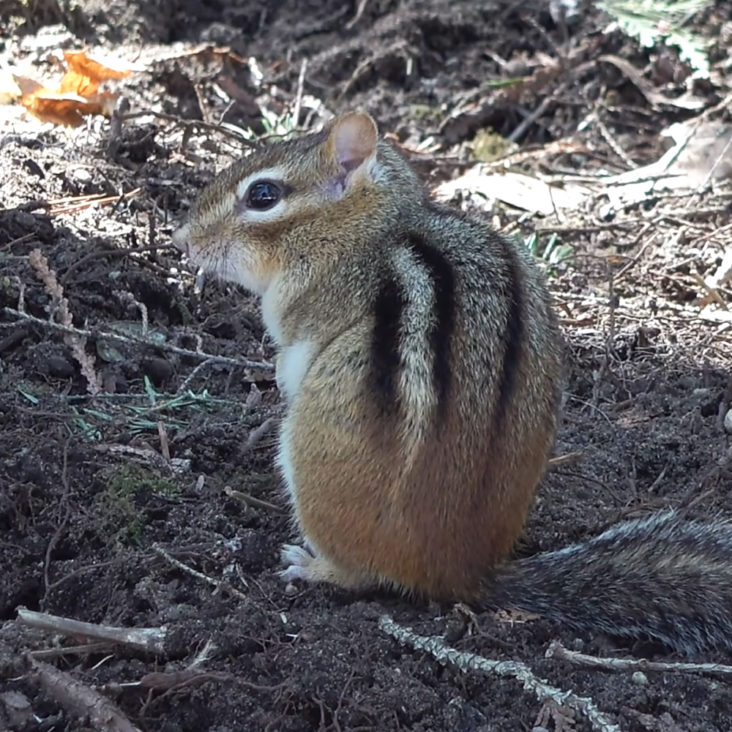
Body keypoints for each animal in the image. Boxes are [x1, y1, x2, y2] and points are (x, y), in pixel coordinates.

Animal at [173, 111, 732, 655]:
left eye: (262, 195)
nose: (182, 240)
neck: (371, 226)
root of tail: (461, 571)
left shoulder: (301, 315)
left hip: (307, 455)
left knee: (359, 575)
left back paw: (312, 566)